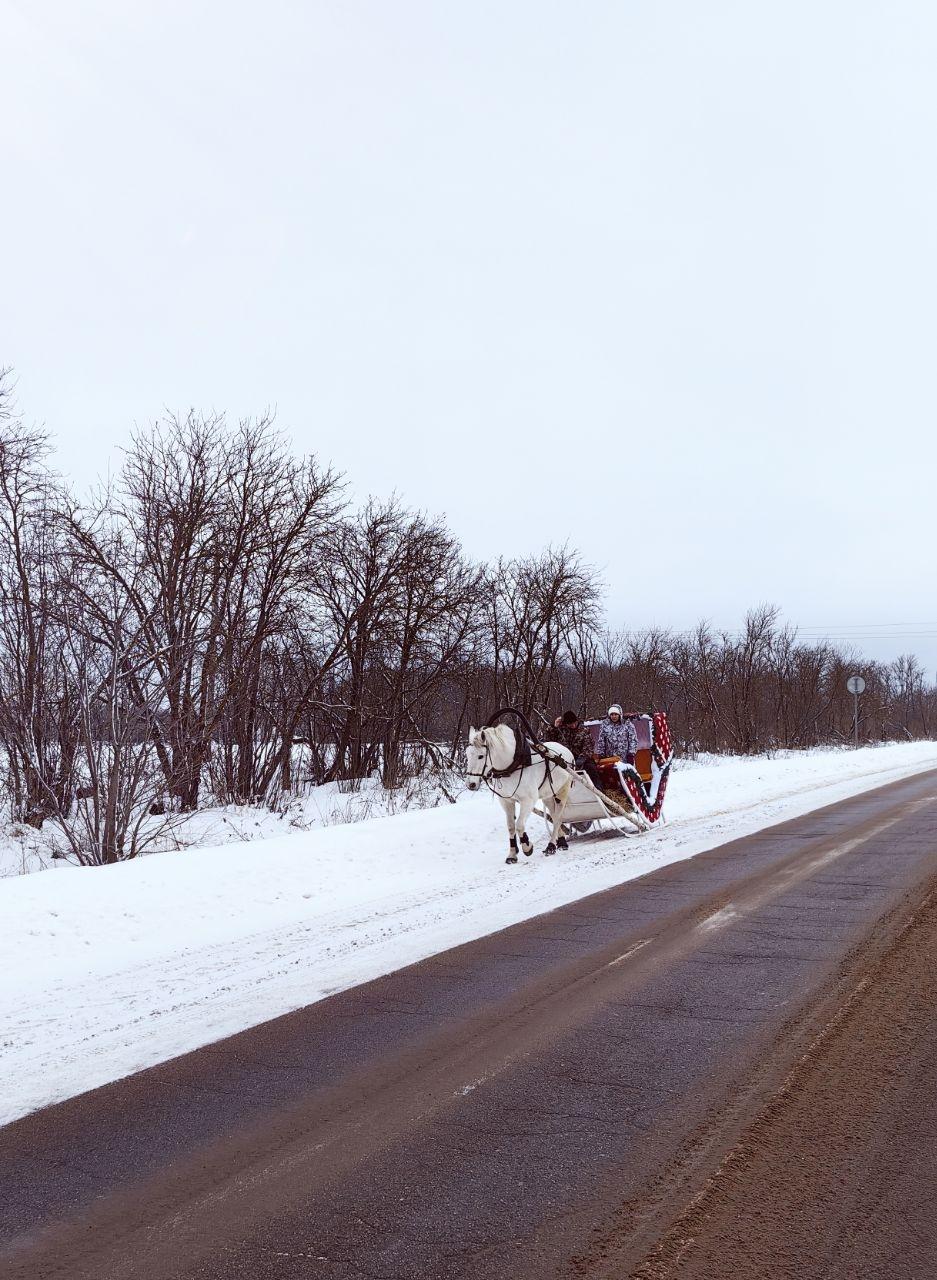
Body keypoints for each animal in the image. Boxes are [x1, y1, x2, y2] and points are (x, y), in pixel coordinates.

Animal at [465, 727, 573, 865]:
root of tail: (566, 750)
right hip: (548, 795)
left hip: (562, 791)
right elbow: (511, 827)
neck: (513, 764)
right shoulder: (506, 801)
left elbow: (520, 825)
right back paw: (561, 842)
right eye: (467, 754)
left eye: (480, 756)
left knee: (558, 817)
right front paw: (512, 855)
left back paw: (551, 846)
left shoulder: (528, 800)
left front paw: (527, 846)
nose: (471, 784)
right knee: (554, 816)